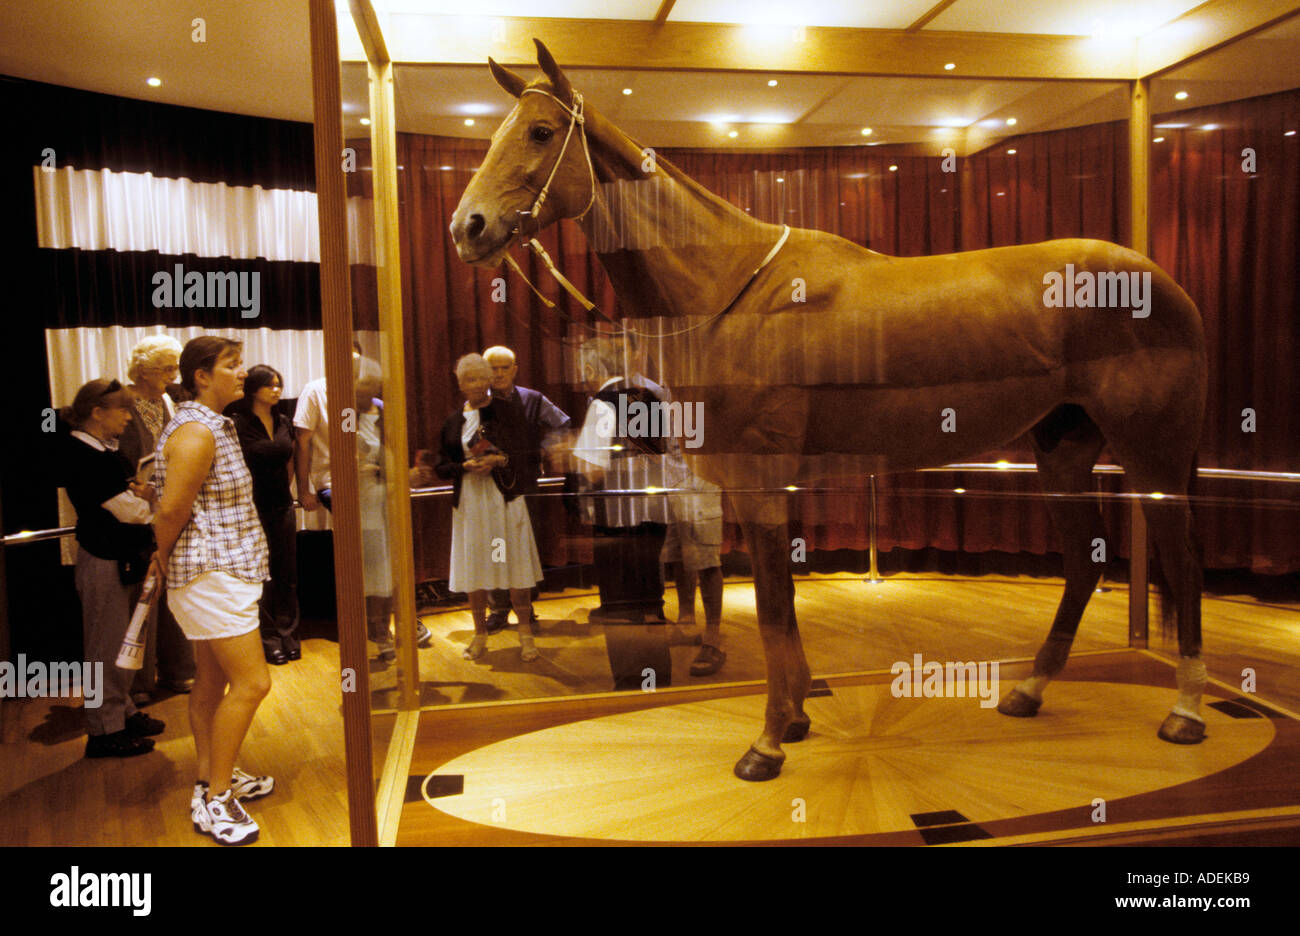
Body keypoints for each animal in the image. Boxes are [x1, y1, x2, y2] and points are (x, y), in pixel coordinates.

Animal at [449, 40, 1206, 780]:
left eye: (540, 132)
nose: (467, 227)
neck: (732, 286)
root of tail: (1158, 281)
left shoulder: (760, 480)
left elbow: (773, 609)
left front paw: (767, 743)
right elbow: (779, 605)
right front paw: (796, 718)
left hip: (1151, 449)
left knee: (1181, 557)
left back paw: (1187, 712)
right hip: (1063, 447)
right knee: (1083, 564)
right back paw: (1029, 689)